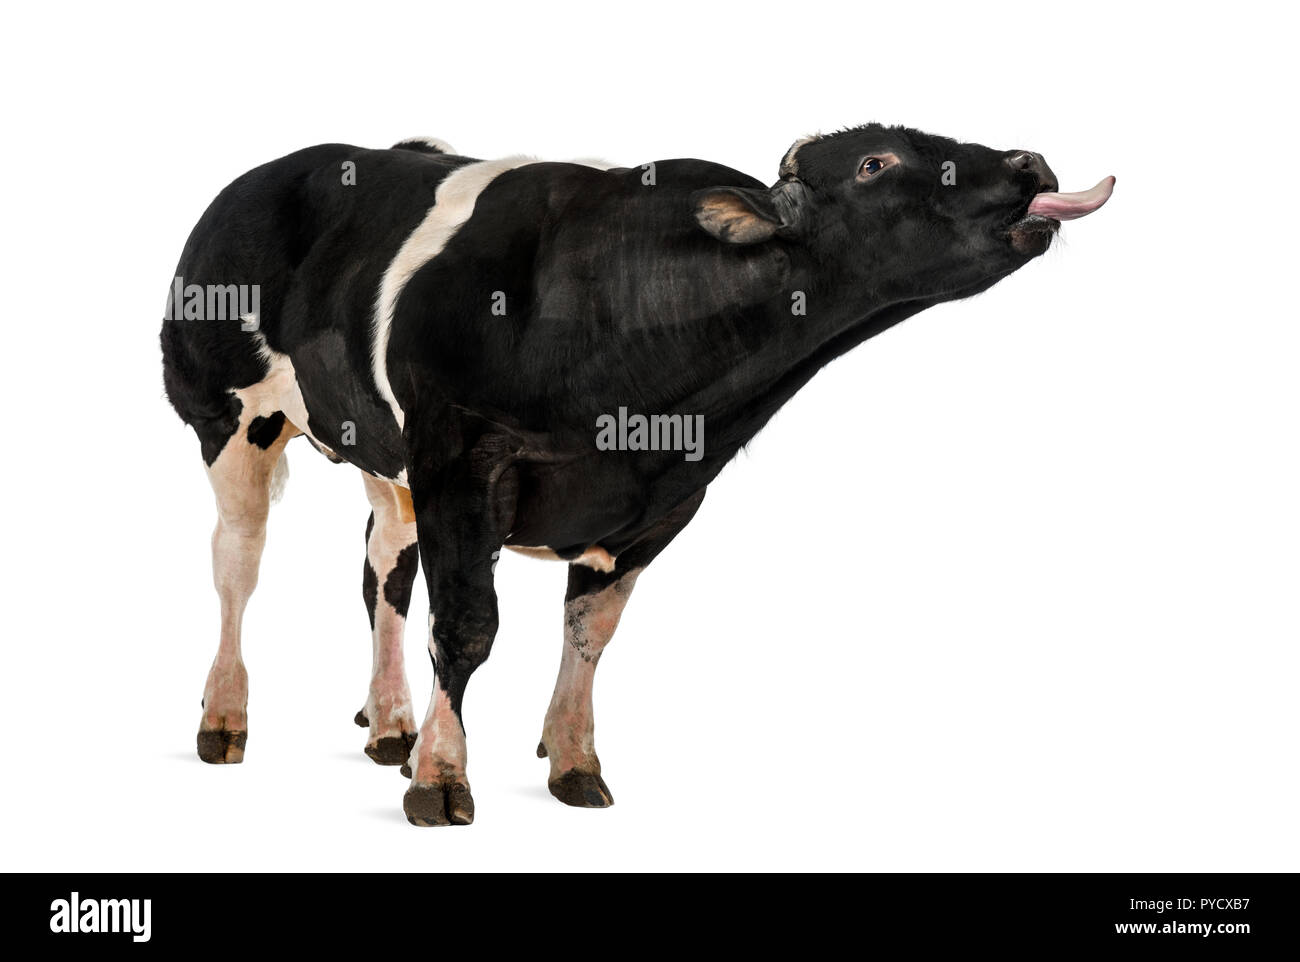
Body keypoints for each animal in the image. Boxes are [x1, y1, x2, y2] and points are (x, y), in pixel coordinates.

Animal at [161, 125, 1113, 826]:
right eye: (877, 163)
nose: (1030, 164)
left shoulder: (664, 497)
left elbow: (590, 632)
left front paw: (572, 762)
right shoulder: (460, 463)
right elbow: (467, 627)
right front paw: (442, 779)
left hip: (381, 459)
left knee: (382, 571)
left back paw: (391, 723)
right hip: (225, 415)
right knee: (237, 562)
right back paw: (225, 718)